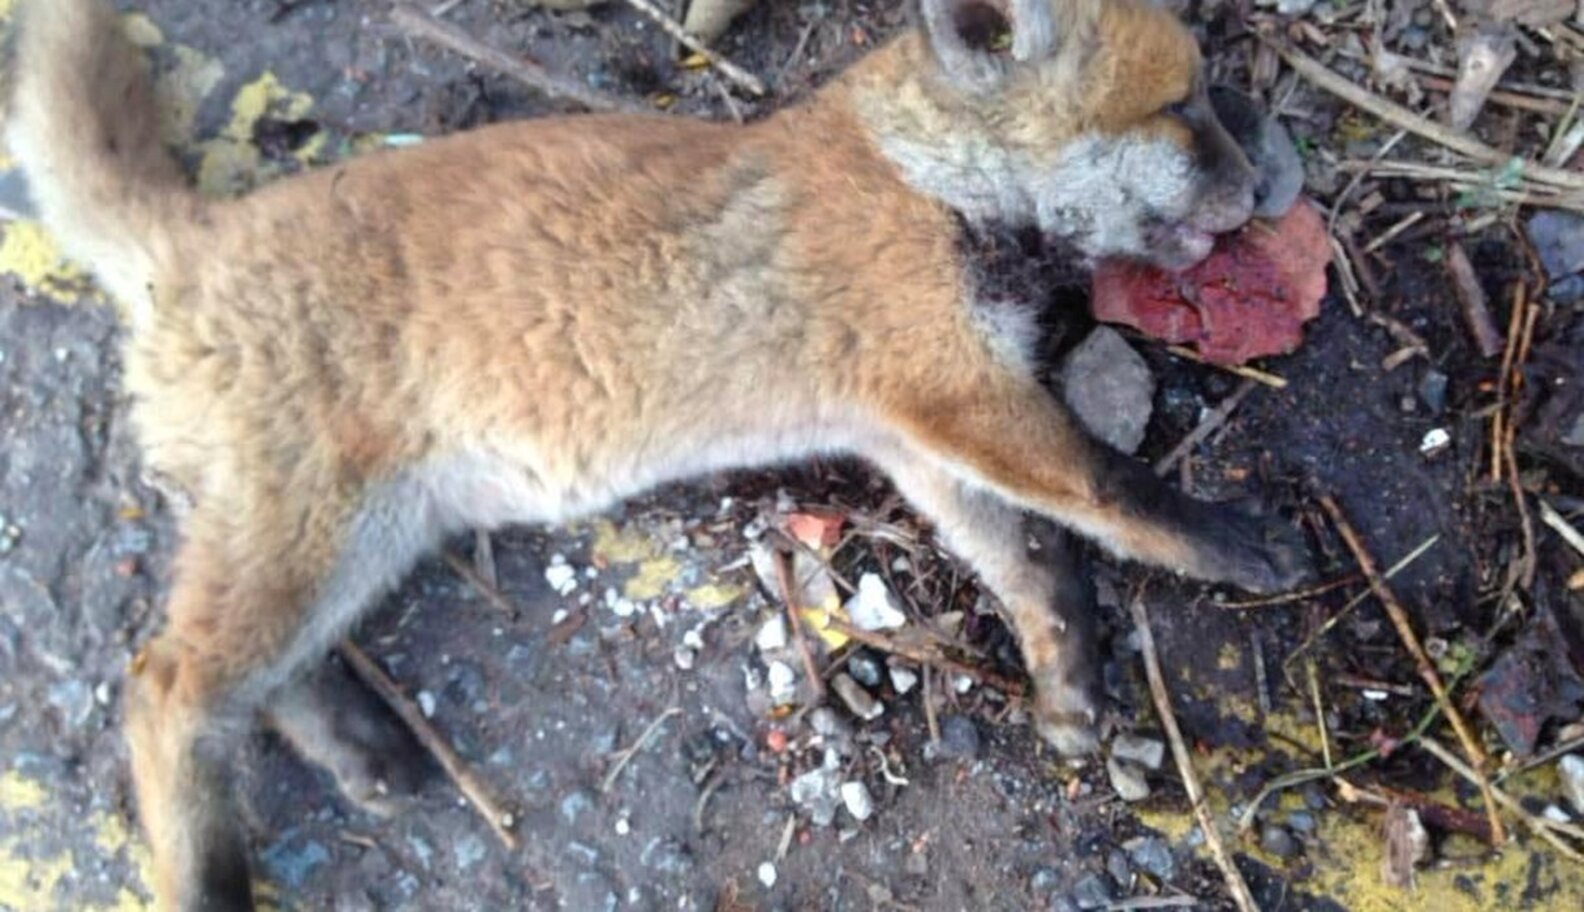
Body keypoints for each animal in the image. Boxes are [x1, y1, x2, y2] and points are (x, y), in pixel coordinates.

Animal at [6, 0, 1309, 908]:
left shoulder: (915, 437)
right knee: (163, 685)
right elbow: (1109, 489)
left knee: (242, 682)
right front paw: (1231, 543)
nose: (1264, 182)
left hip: (358, 541)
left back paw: (359, 749)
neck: (925, 182)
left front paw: (1068, 683)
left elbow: (1033, 564)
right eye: (1182, 106)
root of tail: (192, 244)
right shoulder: (949, 388)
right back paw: (212, 874)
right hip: (312, 534)